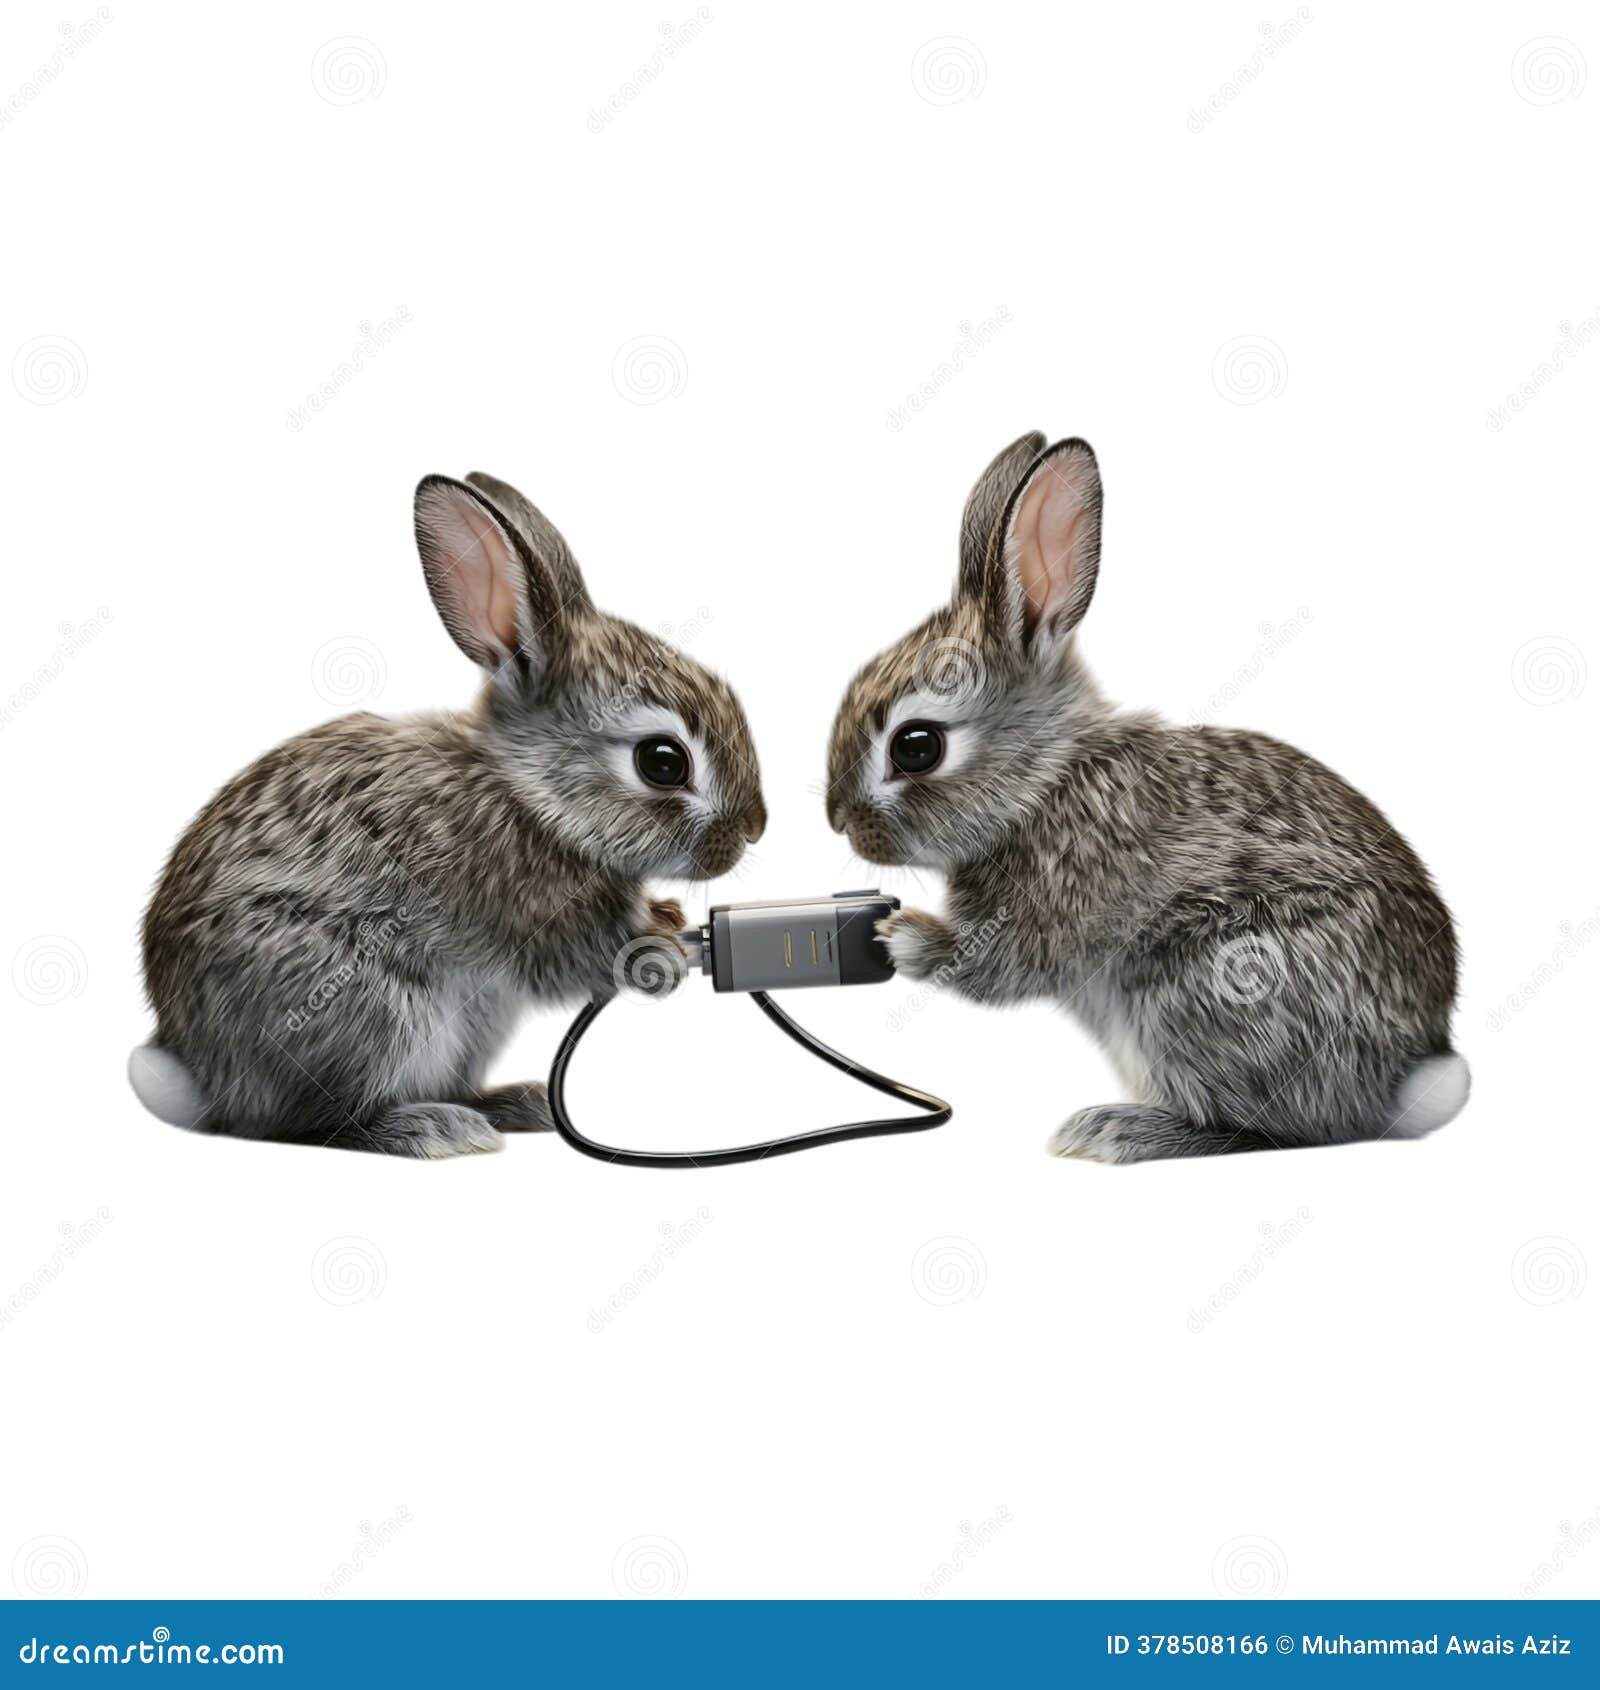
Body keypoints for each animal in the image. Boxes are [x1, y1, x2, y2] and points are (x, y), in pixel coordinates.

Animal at [129, 471, 765, 1157]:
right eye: (663, 762)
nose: (752, 829)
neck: (528, 796)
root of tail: (204, 1080)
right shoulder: (525, 910)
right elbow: (577, 958)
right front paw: (662, 955)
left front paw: (666, 917)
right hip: (370, 1006)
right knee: (304, 1124)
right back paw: (431, 1129)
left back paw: (513, 1105)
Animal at [825, 432, 1469, 1163]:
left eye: (916, 746)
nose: (839, 821)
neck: (1044, 781)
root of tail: (1397, 1084)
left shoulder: (1059, 897)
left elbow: (995, 966)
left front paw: (901, 935)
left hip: (1205, 986)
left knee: (1277, 1130)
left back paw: (1116, 1132)